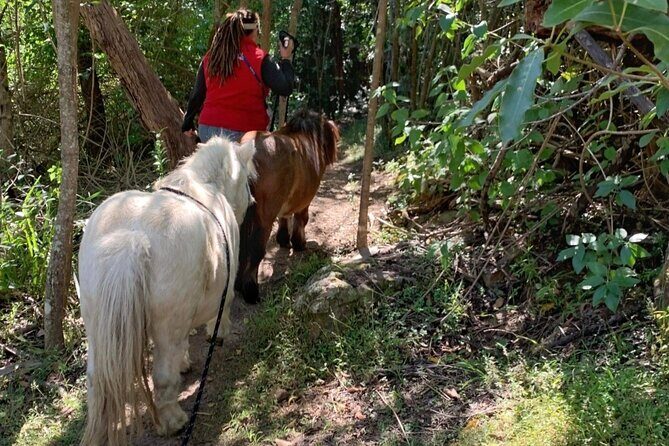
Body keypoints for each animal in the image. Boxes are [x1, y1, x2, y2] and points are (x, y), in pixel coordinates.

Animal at [77, 136, 256, 445]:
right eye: (246, 181)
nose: (253, 202)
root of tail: (133, 239)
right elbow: (219, 314)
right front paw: (218, 334)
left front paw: (184, 362)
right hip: (166, 327)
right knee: (162, 376)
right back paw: (173, 421)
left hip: (96, 325)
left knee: (96, 380)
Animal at [236, 109, 339, 304]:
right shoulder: (305, 199)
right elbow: (302, 219)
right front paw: (299, 243)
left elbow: (284, 217)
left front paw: (284, 239)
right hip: (264, 219)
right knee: (256, 250)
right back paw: (251, 291)